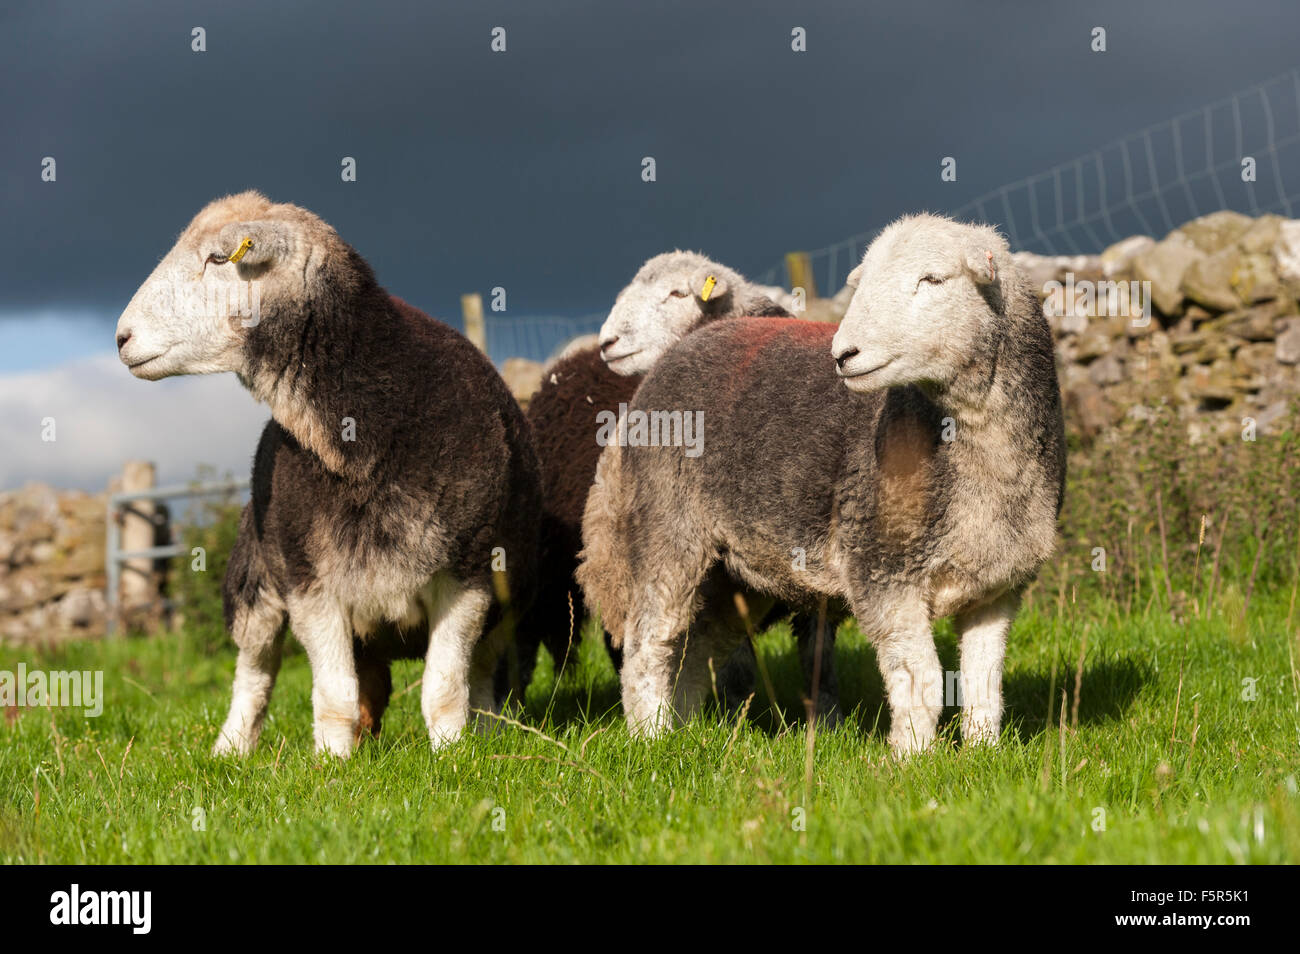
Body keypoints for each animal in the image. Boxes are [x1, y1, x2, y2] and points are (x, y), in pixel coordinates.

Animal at [114, 191, 541, 757]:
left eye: (219, 258)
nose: (122, 338)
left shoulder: (467, 576)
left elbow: (446, 689)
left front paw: (454, 757)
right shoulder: (308, 582)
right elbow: (333, 693)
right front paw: (333, 764)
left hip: (505, 598)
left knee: (477, 676)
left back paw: (488, 734)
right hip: (254, 577)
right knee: (255, 673)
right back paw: (232, 750)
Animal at [515, 251, 842, 720]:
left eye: (675, 293)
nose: (609, 342)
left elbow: (820, 655)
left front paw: (828, 719)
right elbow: (734, 666)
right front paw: (732, 716)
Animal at [577, 215, 1066, 754]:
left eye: (933, 279)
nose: (843, 353)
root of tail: (684, 346)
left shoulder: (997, 588)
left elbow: (983, 681)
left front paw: (982, 753)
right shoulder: (883, 574)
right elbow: (921, 681)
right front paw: (912, 760)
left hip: (732, 571)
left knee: (696, 646)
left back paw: (682, 733)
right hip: (668, 527)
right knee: (649, 642)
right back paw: (652, 740)